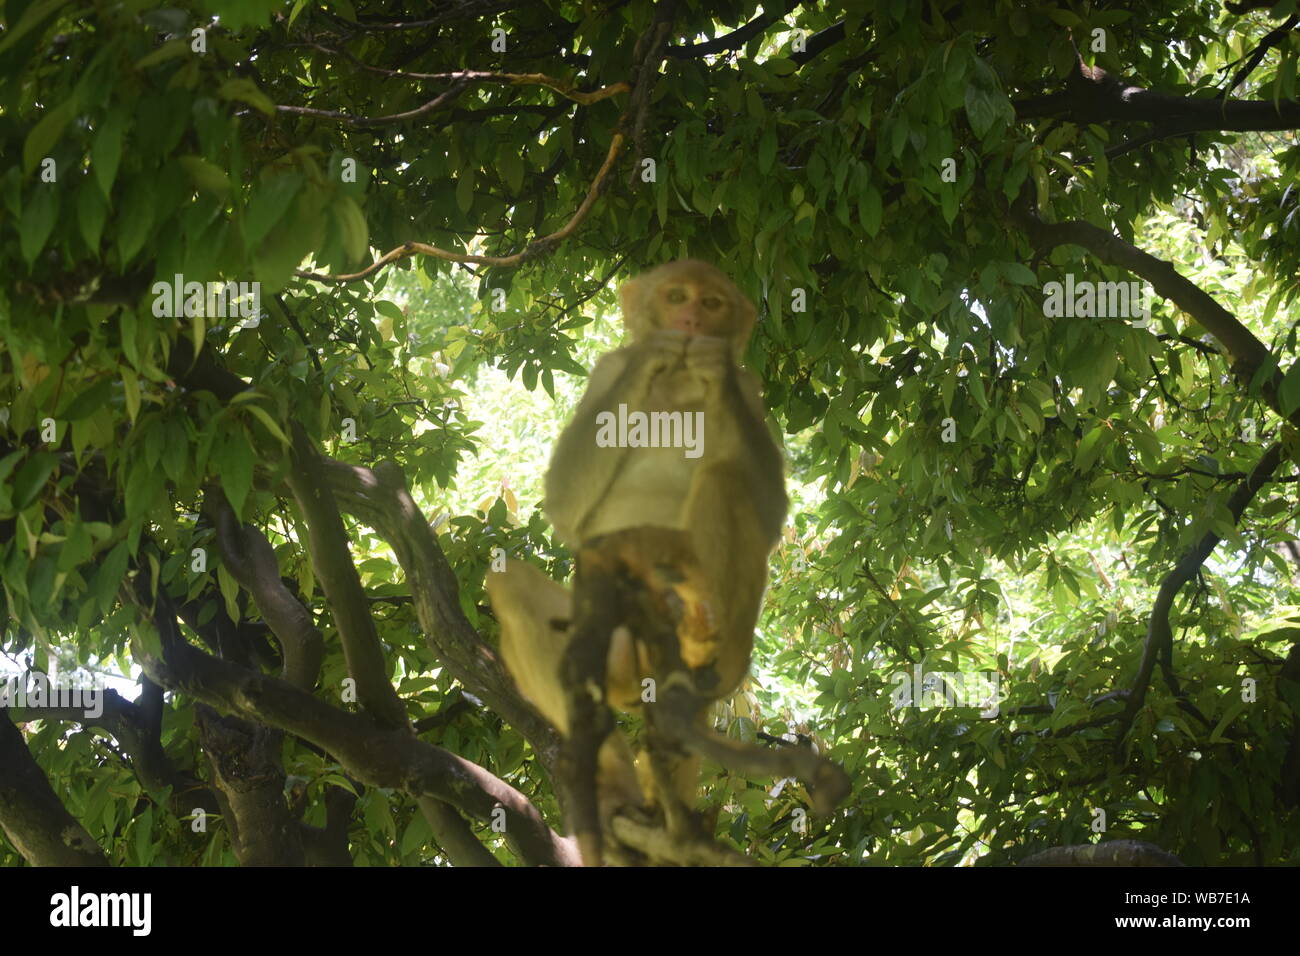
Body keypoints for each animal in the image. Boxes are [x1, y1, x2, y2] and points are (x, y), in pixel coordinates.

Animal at [487, 259, 787, 822]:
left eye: (711, 303)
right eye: (676, 297)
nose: (691, 322)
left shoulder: (751, 388)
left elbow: (771, 509)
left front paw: (713, 369)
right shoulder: (608, 372)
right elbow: (564, 504)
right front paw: (655, 352)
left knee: (725, 478)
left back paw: (710, 646)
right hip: (614, 644)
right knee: (510, 586)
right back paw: (610, 771)